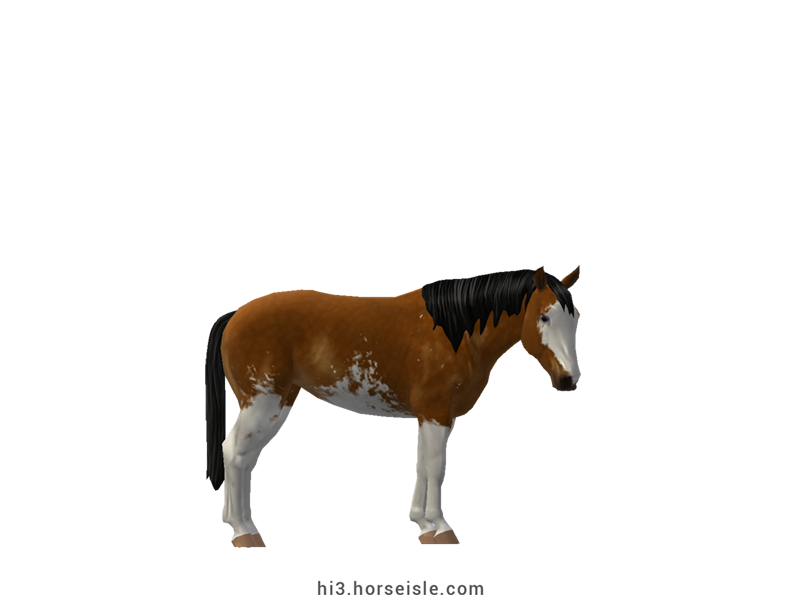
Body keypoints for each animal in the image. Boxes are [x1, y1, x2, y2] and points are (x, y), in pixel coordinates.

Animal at [206, 266, 581, 539]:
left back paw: (237, 524)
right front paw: (439, 524)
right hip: (262, 404)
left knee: (235, 455)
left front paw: (420, 522)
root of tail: (235, 316)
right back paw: (240, 529)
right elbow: (436, 465)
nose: (568, 379)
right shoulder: (437, 412)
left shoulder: (429, 415)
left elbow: (422, 464)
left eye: (573, 316)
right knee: (234, 455)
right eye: (544, 316)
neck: (453, 332)